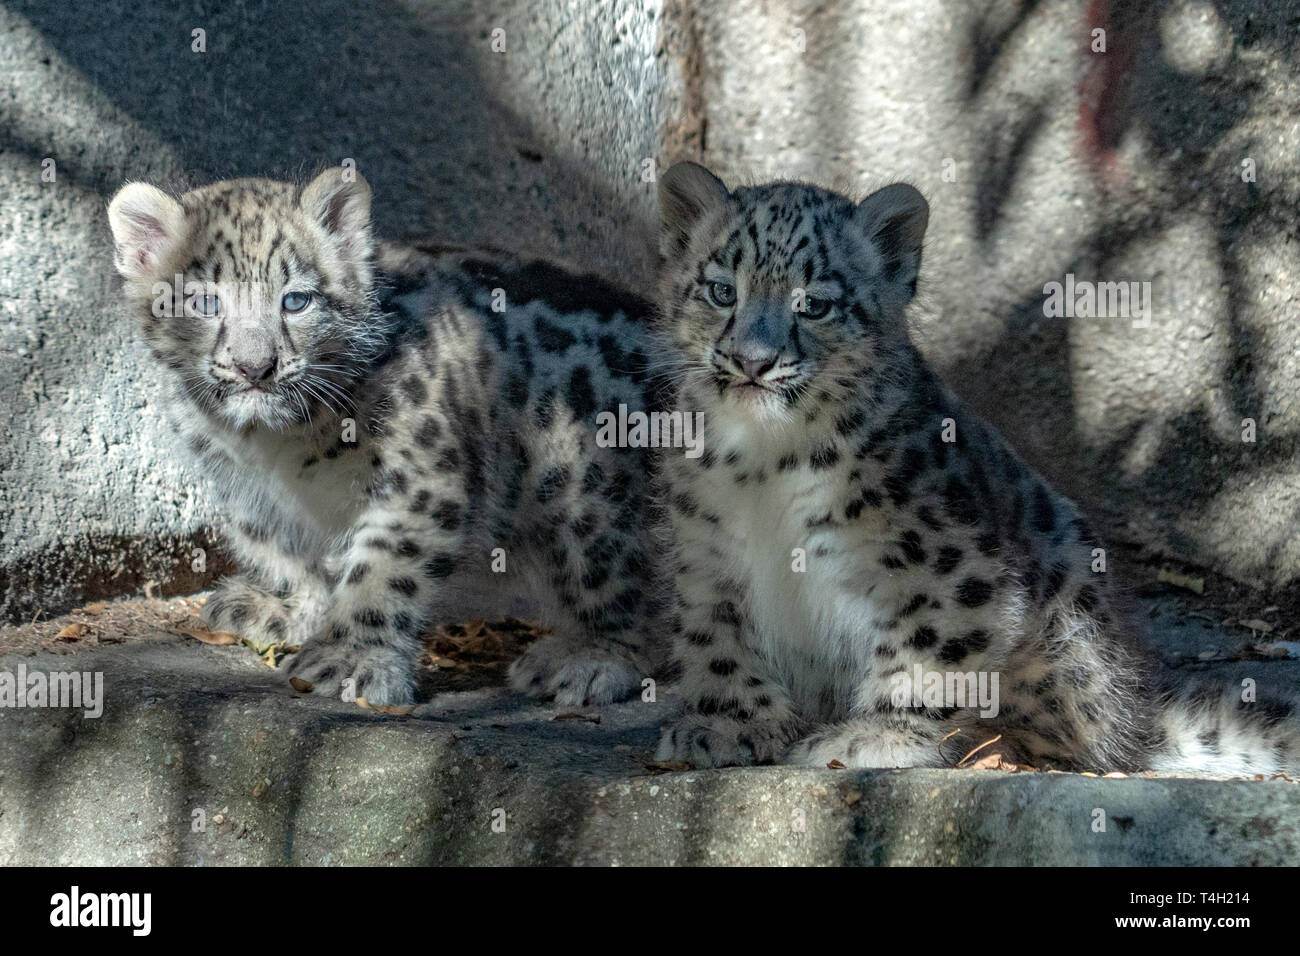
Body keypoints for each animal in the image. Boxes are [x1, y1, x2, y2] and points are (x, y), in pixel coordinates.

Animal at [107, 167, 665, 707]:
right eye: (204, 301)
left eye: (296, 300)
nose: (255, 367)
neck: (275, 446)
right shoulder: (244, 487)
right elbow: (287, 550)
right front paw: (288, 610)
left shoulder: (419, 473)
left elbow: (384, 570)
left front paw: (350, 661)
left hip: (586, 486)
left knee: (625, 579)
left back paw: (586, 661)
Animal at [650, 160, 1298, 776]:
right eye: (722, 291)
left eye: (813, 303)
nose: (752, 361)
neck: (766, 465)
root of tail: (1136, 716)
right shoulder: (709, 556)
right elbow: (719, 641)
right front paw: (725, 726)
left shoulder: (943, 566)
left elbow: (928, 650)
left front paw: (875, 738)